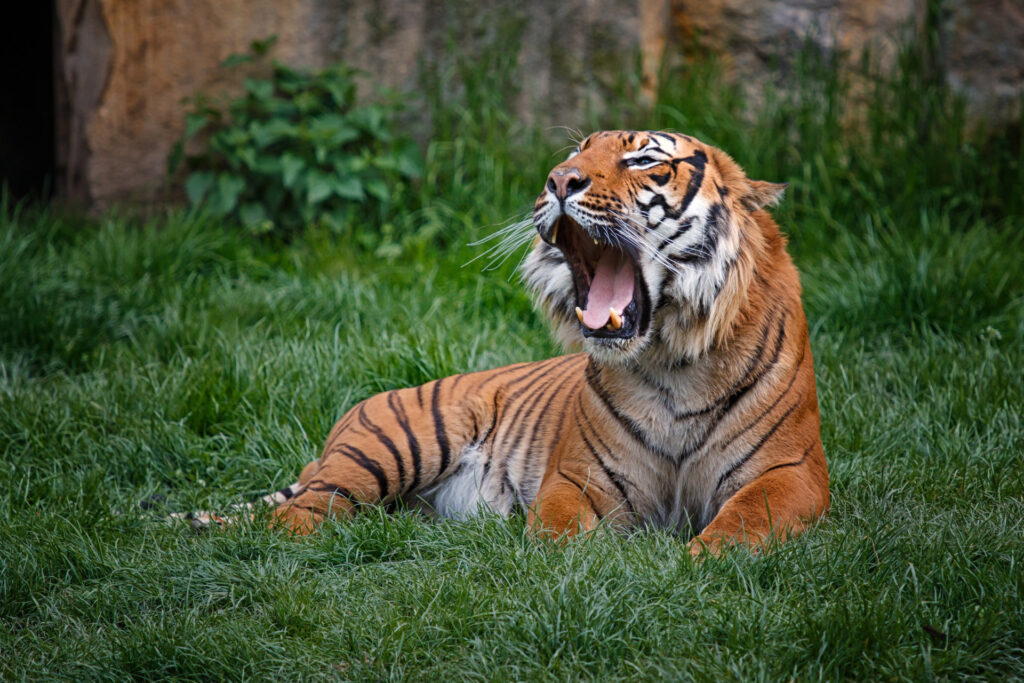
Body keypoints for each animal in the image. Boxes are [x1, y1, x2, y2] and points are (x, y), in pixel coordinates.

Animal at [179, 130, 830, 556]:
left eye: (644, 158)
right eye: (574, 154)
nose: (559, 180)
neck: (670, 360)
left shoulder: (792, 473)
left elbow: (742, 527)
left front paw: (695, 562)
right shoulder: (579, 477)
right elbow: (561, 533)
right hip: (388, 448)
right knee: (298, 517)